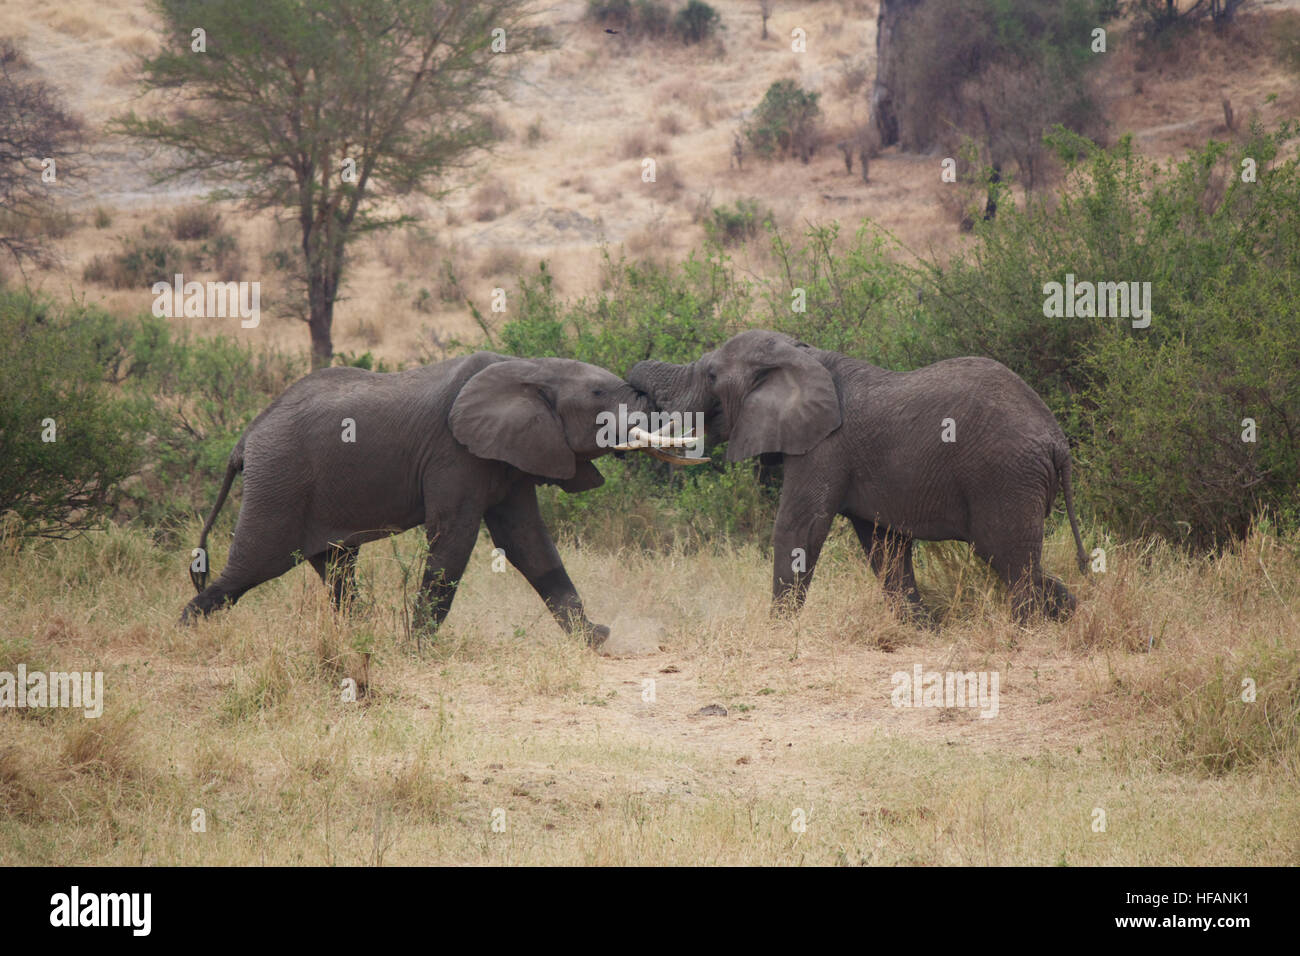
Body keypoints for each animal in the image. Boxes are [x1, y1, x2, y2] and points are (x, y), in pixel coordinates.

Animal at [181, 352, 701, 643]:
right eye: (597, 393)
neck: (530, 366)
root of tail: (245, 438)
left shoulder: (510, 454)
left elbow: (529, 543)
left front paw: (594, 639)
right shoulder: (455, 452)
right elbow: (453, 538)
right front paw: (418, 647)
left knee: (336, 567)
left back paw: (363, 634)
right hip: (279, 481)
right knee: (251, 566)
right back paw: (186, 633)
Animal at [628, 330, 1088, 624]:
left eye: (710, 375)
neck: (803, 352)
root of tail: (1057, 442)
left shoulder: (824, 446)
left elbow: (798, 530)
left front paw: (776, 632)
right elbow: (884, 546)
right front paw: (920, 629)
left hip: (1004, 477)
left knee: (1009, 558)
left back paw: (1024, 632)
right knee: (1022, 562)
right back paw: (1071, 615)